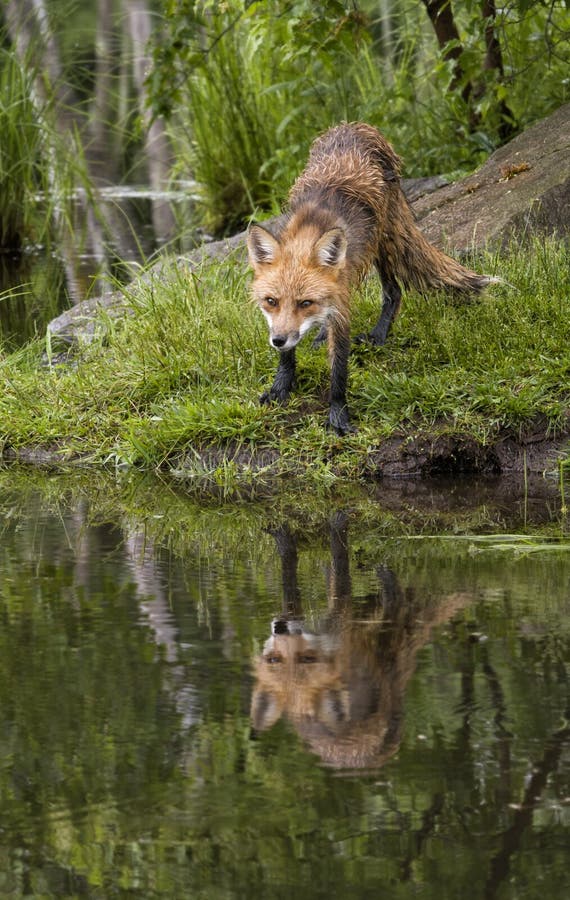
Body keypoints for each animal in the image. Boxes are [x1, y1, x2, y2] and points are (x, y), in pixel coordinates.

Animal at [247, 122, 498, 435]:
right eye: (271, 301)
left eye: (305, 303)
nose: (278, 340)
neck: (311, 227)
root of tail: (355, 125)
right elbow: (288, 358)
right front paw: (280, 388)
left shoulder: (341, 308)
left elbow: (339, 372)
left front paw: (338, 415)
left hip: (383, 242)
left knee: (394, 292)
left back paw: (379, 335)